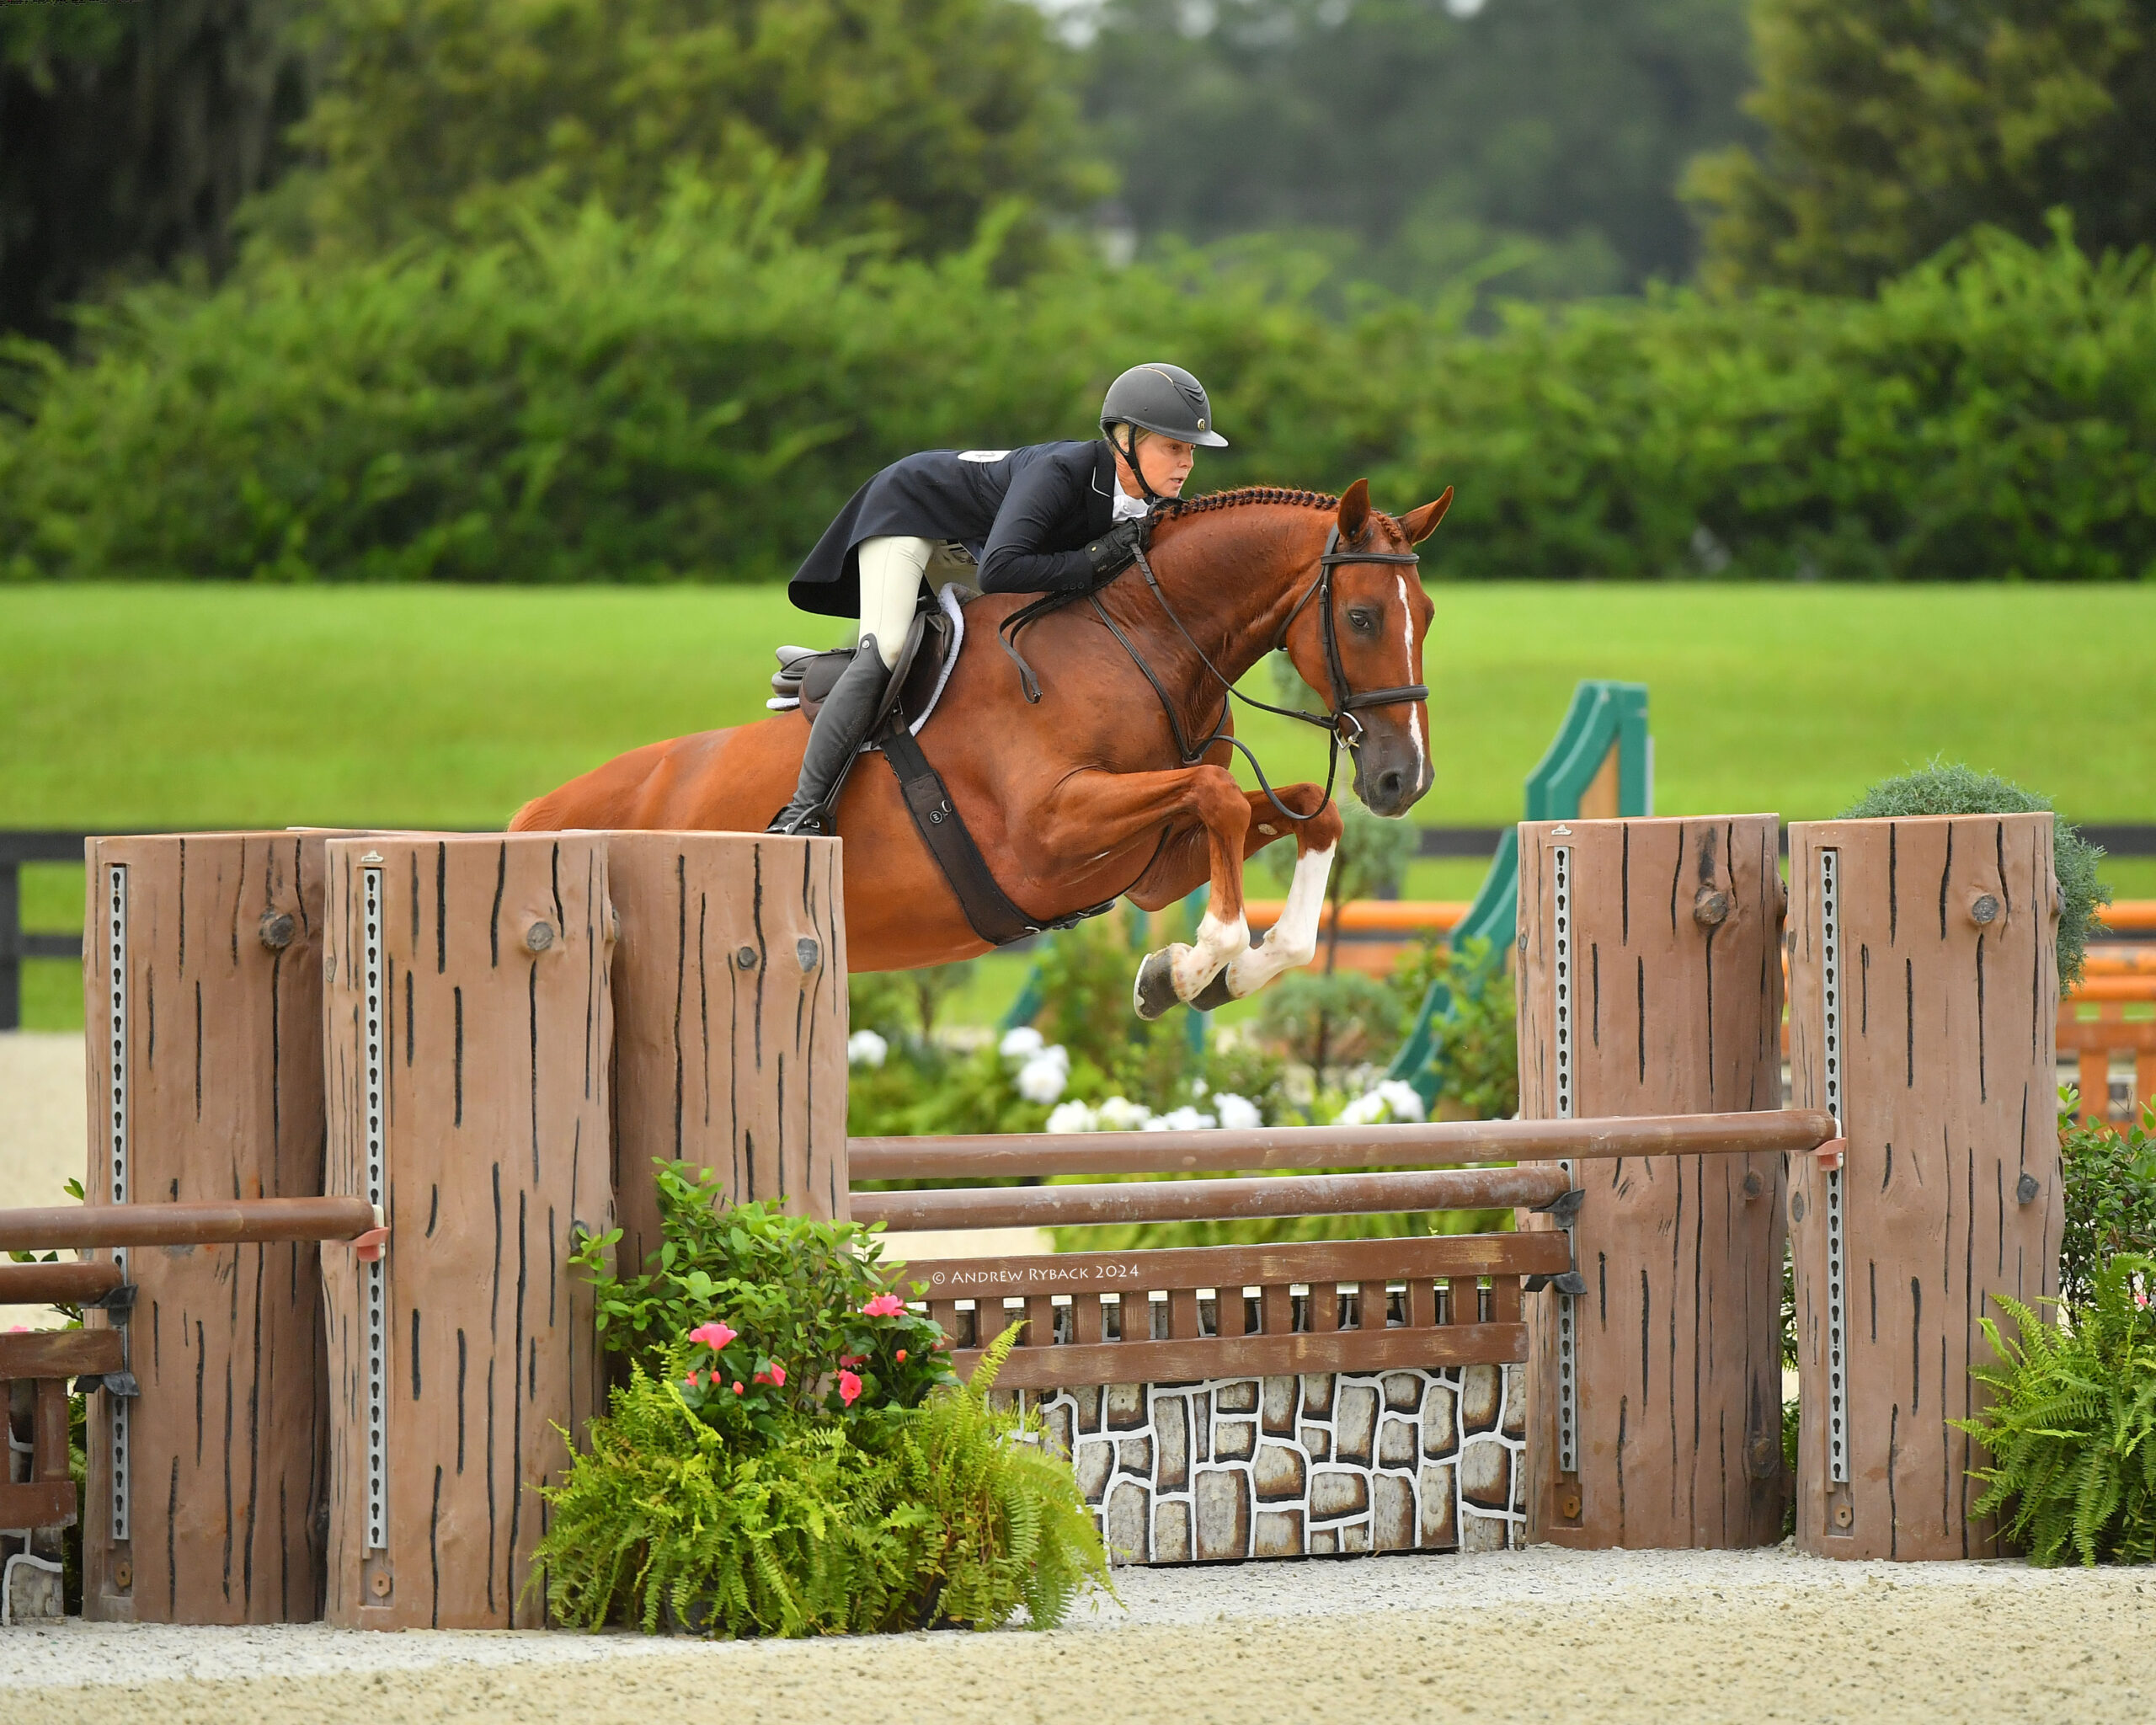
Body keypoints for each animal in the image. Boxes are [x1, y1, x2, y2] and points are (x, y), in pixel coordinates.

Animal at [510, 477, 1449, 1016]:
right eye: (1362, 617)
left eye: (1428, 616)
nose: (1402, 779)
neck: (1144, 637)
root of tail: (528, 817)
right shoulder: (1045, 833)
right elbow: (1218, 797)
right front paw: (1196, 967)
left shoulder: (1150, 866)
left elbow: (1309, 810)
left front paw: (1214, 970)